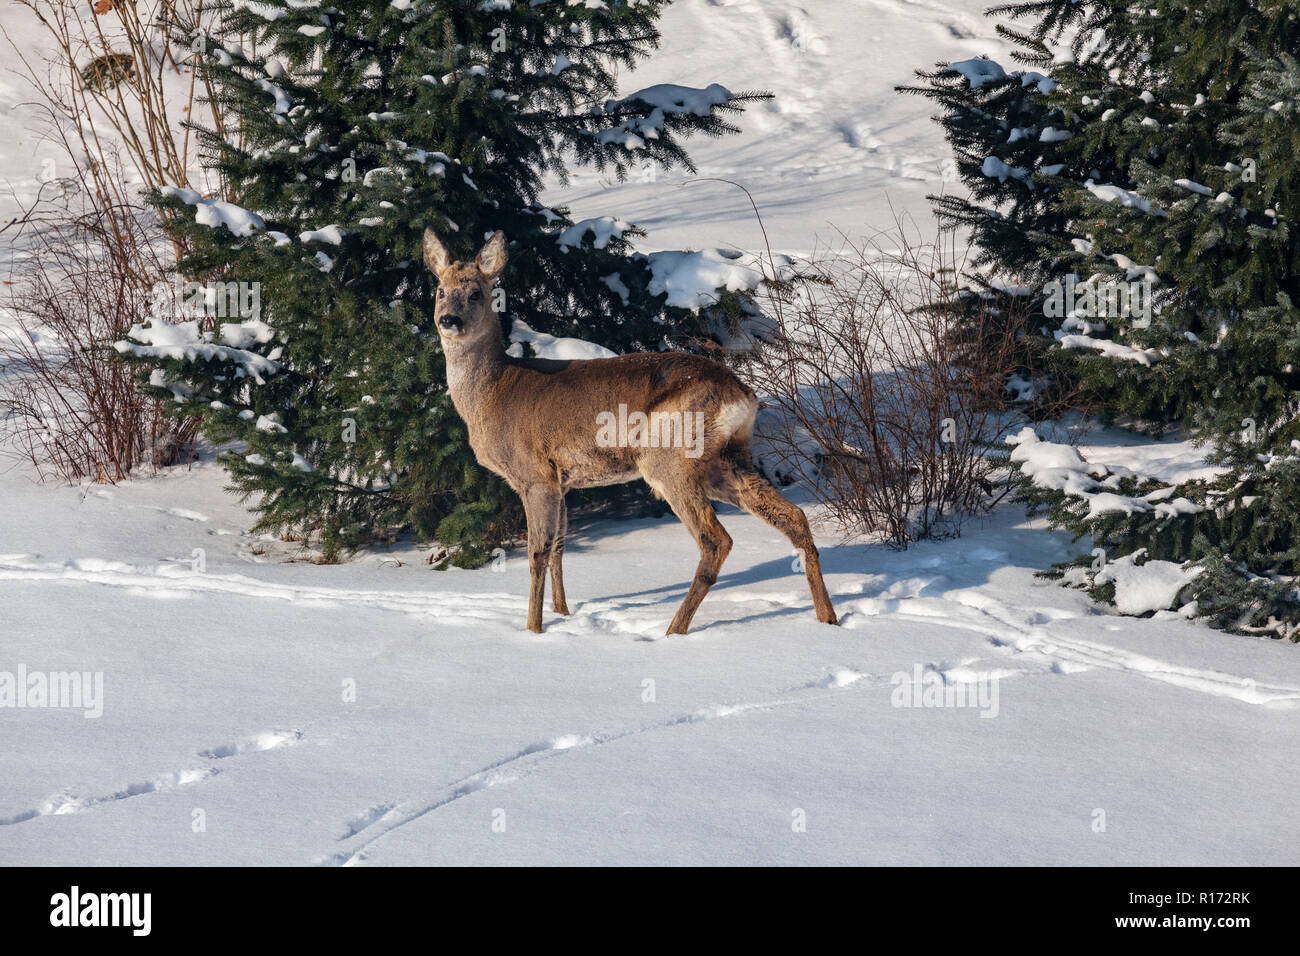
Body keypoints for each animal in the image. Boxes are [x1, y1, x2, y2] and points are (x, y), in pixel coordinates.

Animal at [424, 227, 838, 635]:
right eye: (441, 291)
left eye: (476, 293)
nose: (449, 320)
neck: (493, 394)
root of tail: (742, 394)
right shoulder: (562, 481)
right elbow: (560, 546)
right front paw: (563, 614)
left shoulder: (535, 474)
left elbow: (537, 553)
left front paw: (534, 629)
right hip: (727, 459)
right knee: (794, 517)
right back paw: (827, 618)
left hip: (668, 457)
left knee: (716, 540)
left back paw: (673, 630)